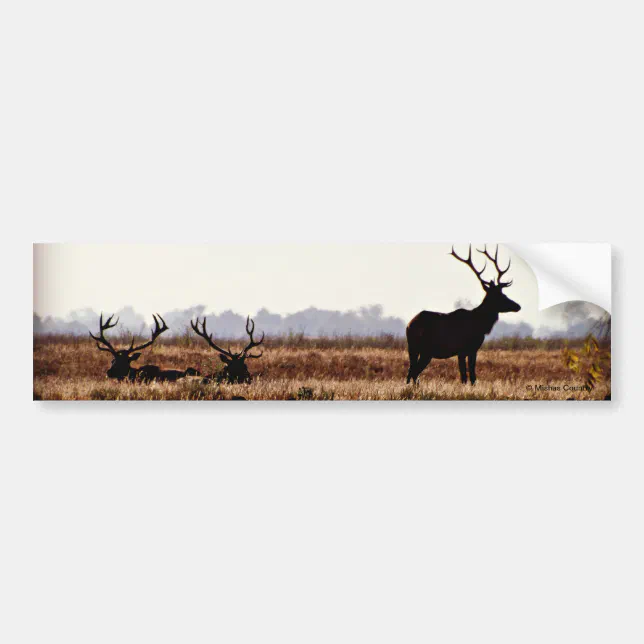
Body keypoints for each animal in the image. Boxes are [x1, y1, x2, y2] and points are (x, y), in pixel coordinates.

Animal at [406, 244, 521, 385]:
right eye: (499, 296)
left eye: (503, 293)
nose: (518, 306)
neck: (481, 325)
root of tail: (409, 325)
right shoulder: (464, 349)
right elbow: (467, 376)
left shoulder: (469, 350)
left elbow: (469, 376)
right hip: (425, 350)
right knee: (414, 372)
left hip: (414, 349)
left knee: (411, 372)